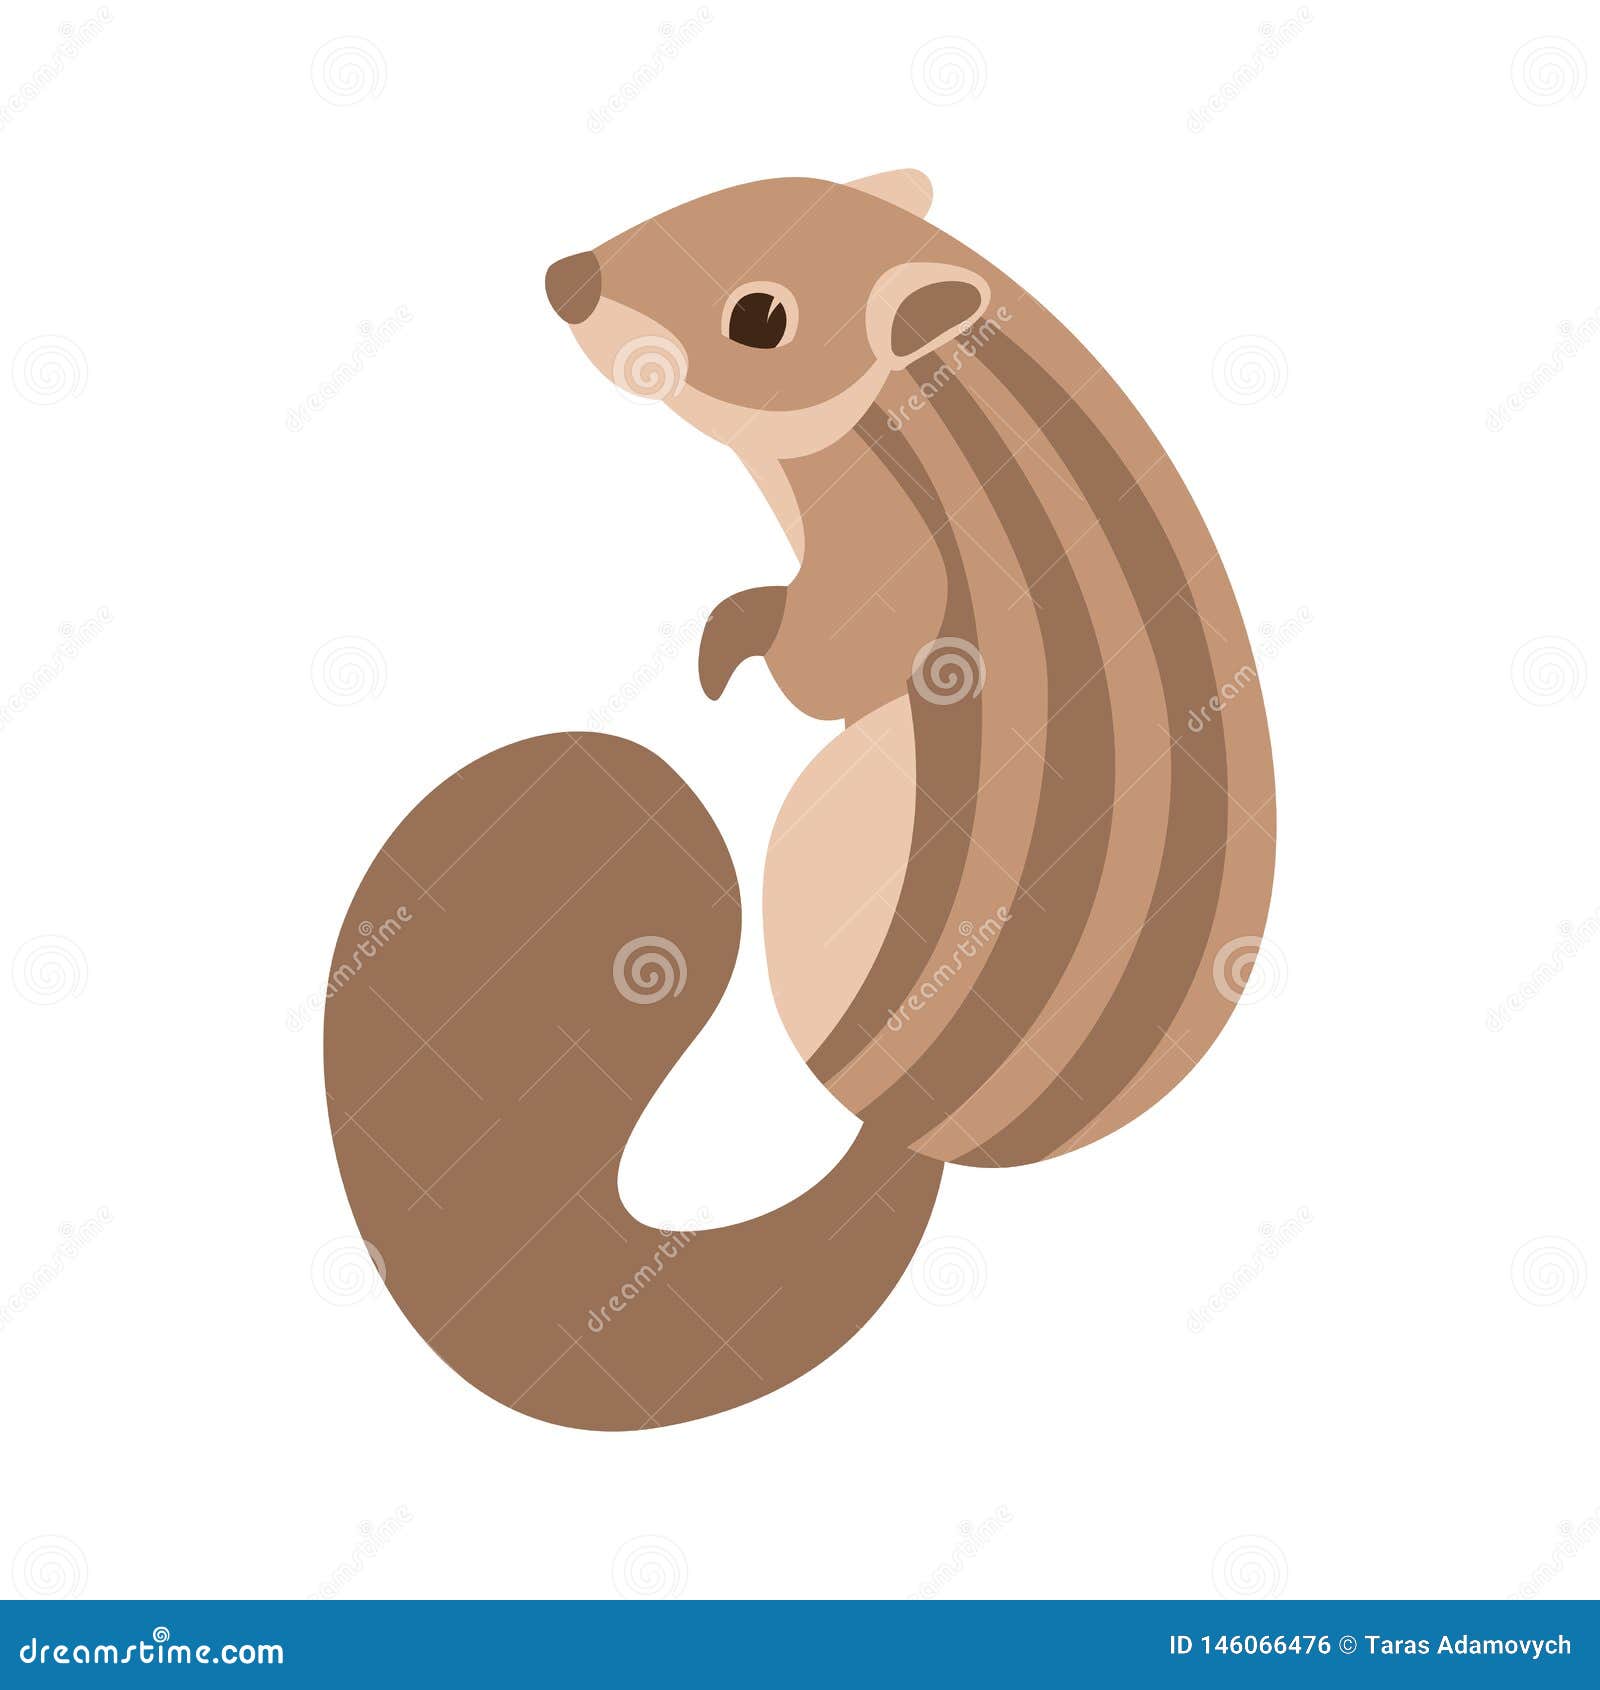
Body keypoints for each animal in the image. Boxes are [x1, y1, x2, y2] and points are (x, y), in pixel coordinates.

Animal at [324, 171, 1275, 1430]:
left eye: (760, 319)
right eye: (718, 195)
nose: (567, 279)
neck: (908, 395)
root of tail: (907, 1135)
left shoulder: (883, 542)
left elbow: (850, 647)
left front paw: (736, 646)